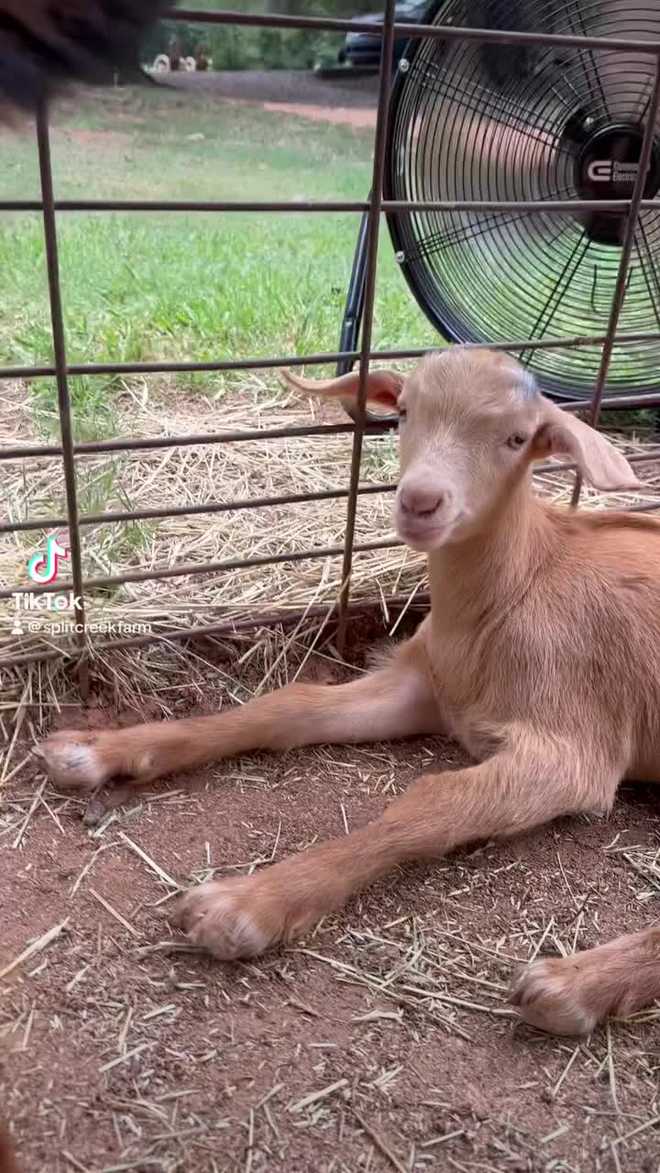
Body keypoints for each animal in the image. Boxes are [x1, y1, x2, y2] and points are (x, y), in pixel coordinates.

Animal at [37, 348, 660, 1036]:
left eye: (518, 438)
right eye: (405, 410)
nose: (421, 500)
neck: (515, 591)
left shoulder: (571, 743)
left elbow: (432, 804)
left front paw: (247, 903)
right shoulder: (424, 689)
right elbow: (288, 706)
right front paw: (101, 748)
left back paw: (576, 983)